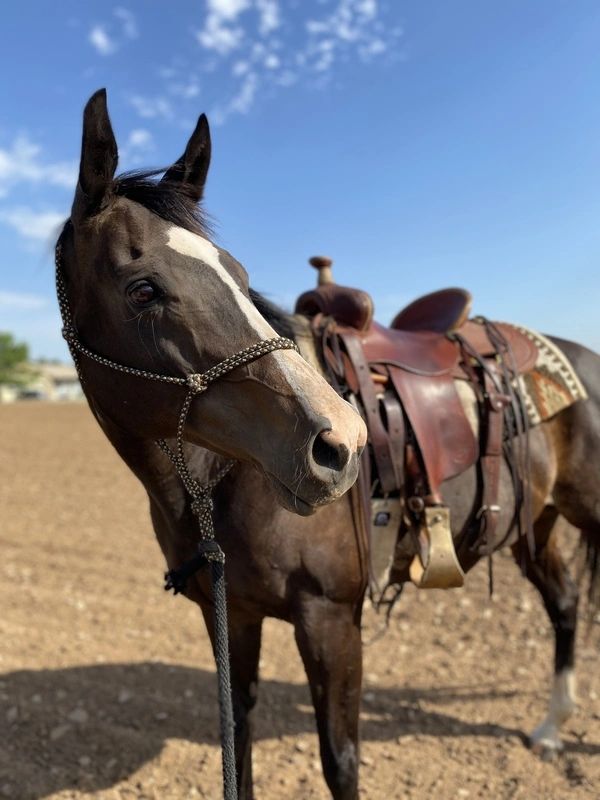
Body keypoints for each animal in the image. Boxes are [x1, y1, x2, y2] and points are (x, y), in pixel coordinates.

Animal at [58, 89, 600, 800]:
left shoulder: (332, 621)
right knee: (564, 603)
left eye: (239, 276)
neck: (224, 487)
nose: (340, 443)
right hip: (532, 522)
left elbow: (340, 760)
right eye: (141, 288)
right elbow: (238, 741)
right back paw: (551, 726)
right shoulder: (231, 617)